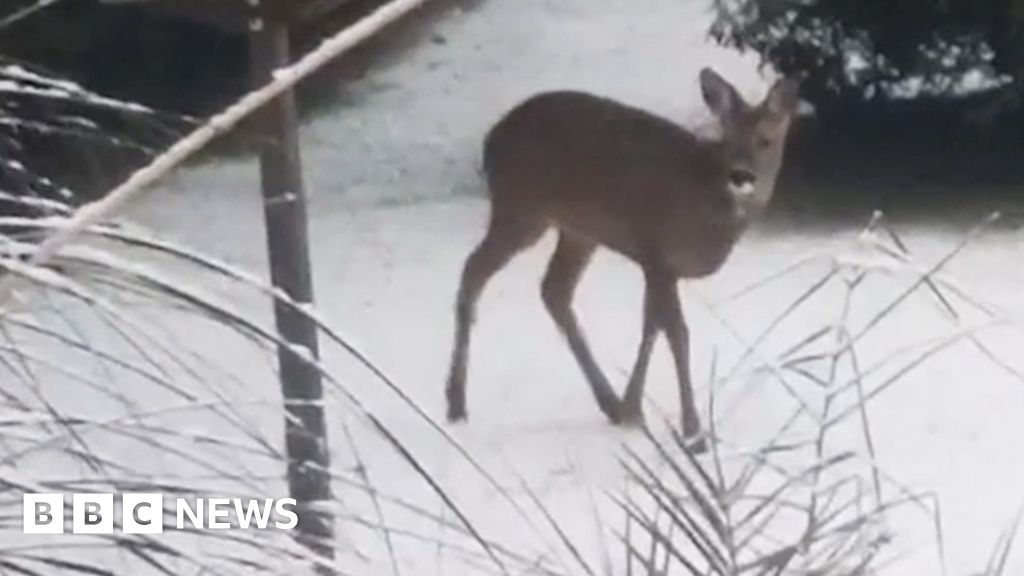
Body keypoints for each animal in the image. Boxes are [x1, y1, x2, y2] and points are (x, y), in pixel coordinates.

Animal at [444, 67, 799, 451]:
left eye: (765, 140)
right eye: (728, 137)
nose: (741, 175)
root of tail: (491, 139)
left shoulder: (654, 261)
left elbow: (652, 324)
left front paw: (632, 408)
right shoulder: (659, 252)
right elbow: (677, 334)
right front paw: (693, 432)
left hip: (578, 230)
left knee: (554, 290)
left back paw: (610, 403)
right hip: (522, 209)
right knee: (473, 270)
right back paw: (455, 403)